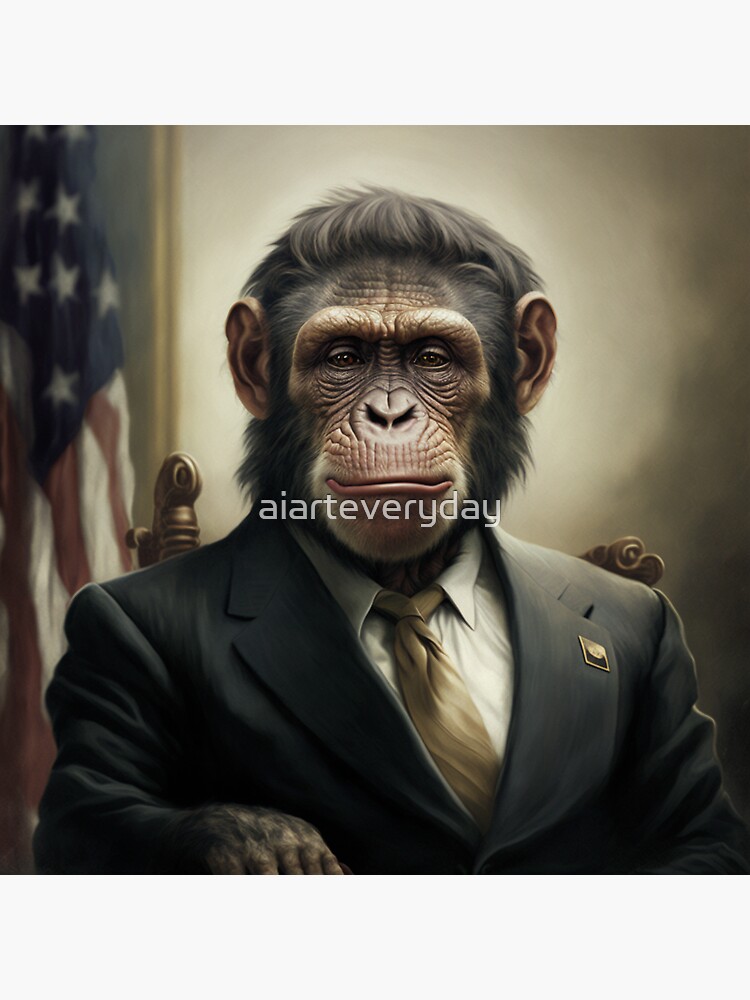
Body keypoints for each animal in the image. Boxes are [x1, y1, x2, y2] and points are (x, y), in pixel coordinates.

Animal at [34, 188, 749, 875]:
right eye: (342, 358)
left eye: (431, 357)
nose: (389, 413)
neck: (406, 588)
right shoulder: (104, 639)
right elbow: (86, 811)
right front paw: (253, 835)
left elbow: (699, 827)